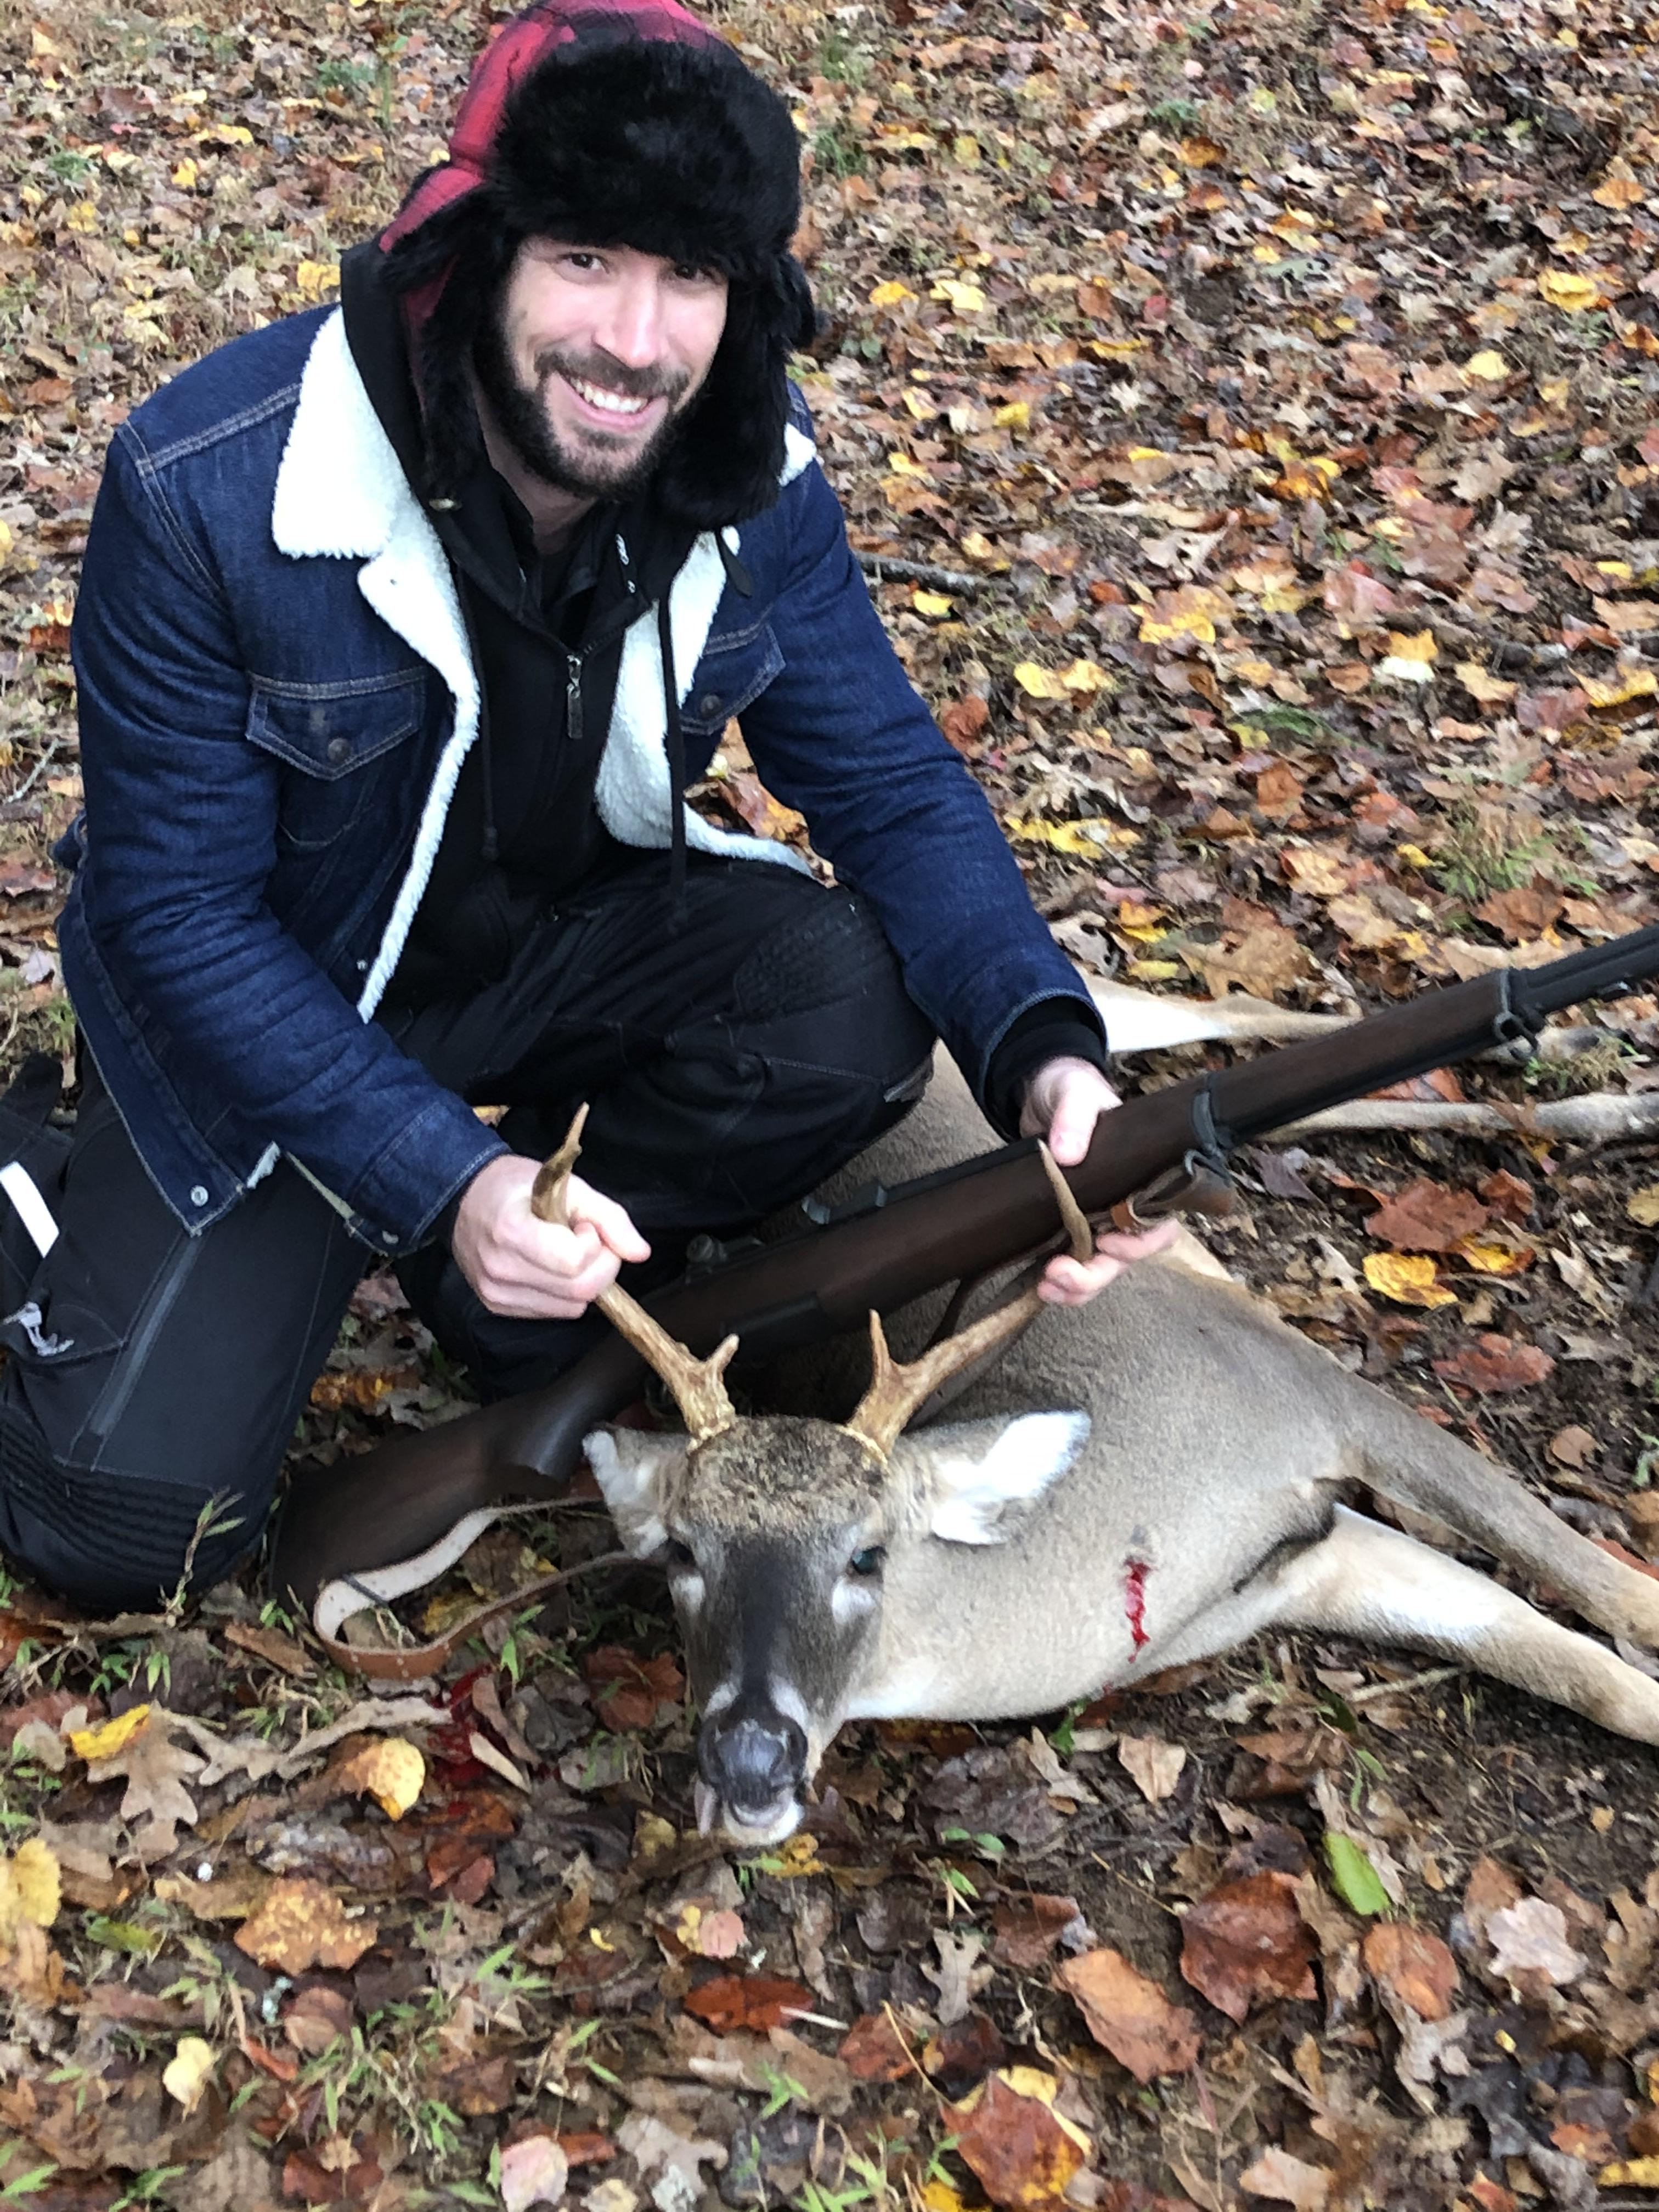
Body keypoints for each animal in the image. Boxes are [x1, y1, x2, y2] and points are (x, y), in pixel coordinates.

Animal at [536, 1059, 1659, 1848]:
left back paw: (1600, 1095)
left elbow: (1598, 1592)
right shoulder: (1314, 1557)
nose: (748, 1766)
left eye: (867, 1553)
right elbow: (1582, 1672)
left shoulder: (1307, 1387)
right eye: (681, 1552)